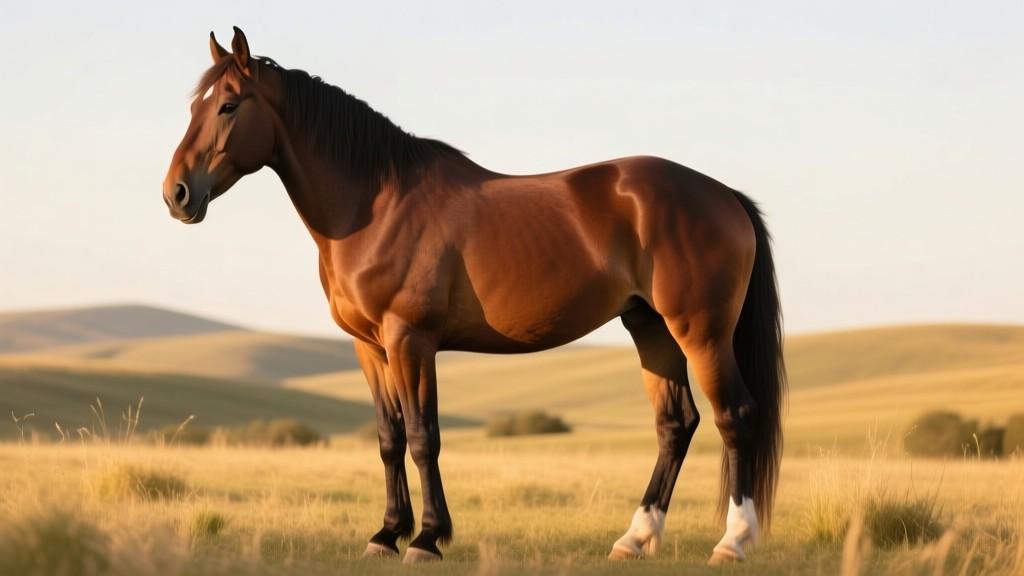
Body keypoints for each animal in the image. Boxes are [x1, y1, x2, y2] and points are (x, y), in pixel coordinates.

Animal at [163, 27, 786, 565]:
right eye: (195, 106)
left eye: (229, 105)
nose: (177, 194)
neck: (376, 204)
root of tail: (722, 193)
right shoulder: (370, 347)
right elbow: (389, 439)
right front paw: (385, 534)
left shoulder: (410, 340)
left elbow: (423, 438)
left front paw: (426, 539)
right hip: (650, 327)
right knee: (675, 425)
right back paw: (634, 539)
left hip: (701, 332)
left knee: (735, 416)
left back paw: (732, 542)